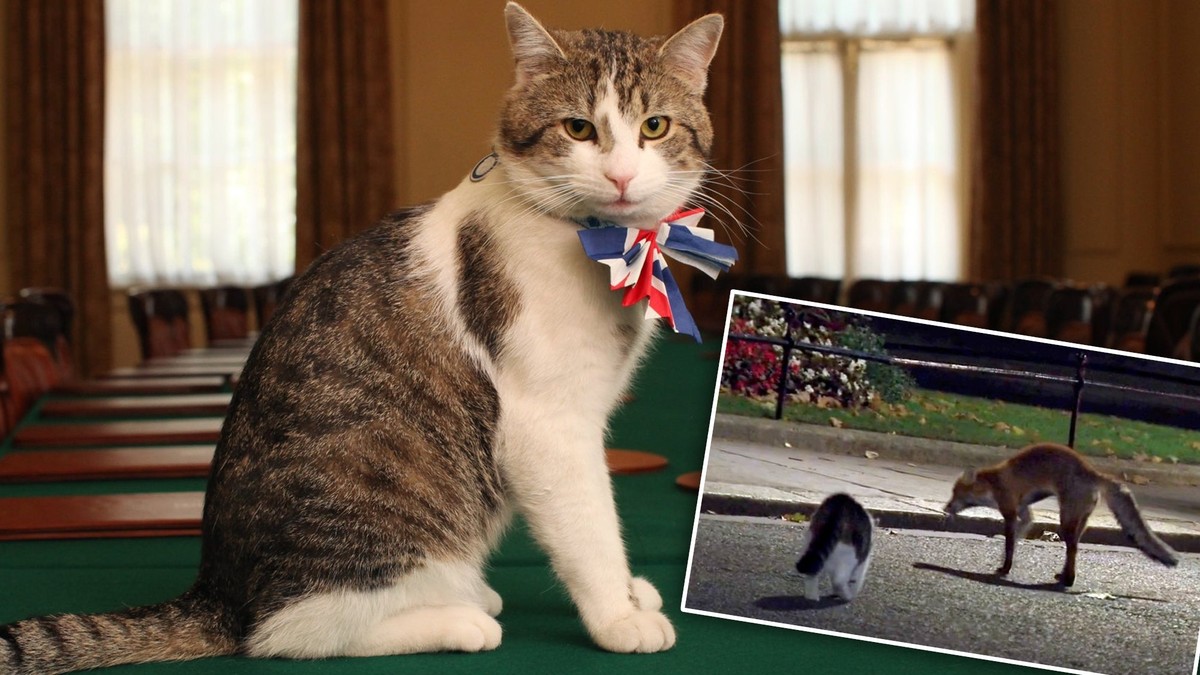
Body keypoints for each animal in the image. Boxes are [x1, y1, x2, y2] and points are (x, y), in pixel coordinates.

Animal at [943, 442, 1178, 586]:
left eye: (955, 493)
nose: (946, 508)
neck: (993, 483)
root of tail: (1093, 472)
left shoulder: (1009, 512)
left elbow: (1010, 544)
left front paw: (1005, 568)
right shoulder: (1025, 514)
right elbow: (1016, 540)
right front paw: (1006, 564)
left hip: (1066, 522)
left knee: (1072, 549)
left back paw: (1068, 580)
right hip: (1078, 522)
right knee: (1074, 548)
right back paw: (1064, 576)